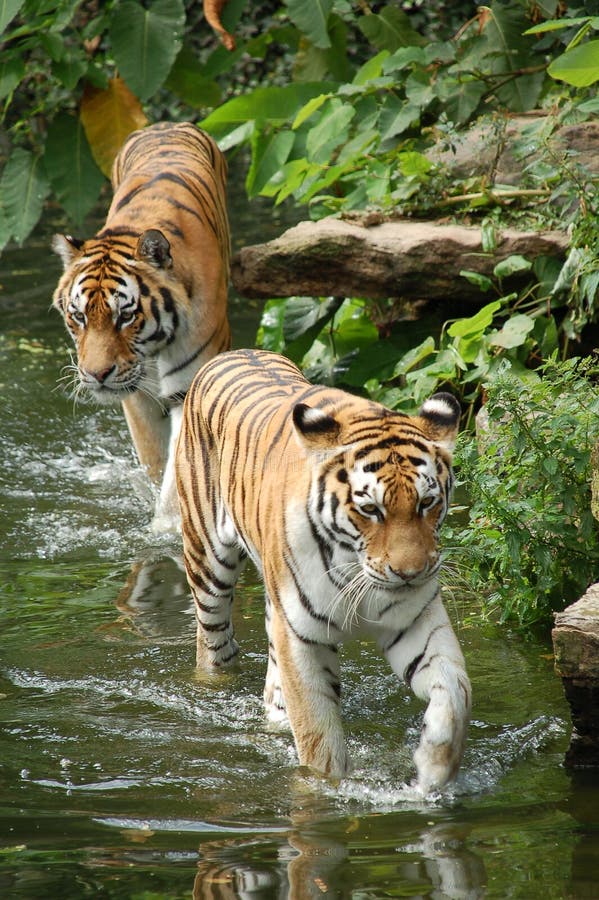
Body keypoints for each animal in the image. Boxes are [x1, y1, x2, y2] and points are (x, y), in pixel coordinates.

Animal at [52, 121, 230, 531]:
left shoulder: (187, 389)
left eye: (126, 316)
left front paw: (166, 527)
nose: (95, 375)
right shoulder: (134, 396)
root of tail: (167, 124)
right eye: (79, 316)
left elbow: (178, 476)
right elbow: (156, 462)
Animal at [175, 348, 471, 794]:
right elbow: (318, 737)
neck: (356, 568)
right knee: (213, 642)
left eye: (427, 503)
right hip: (208, 562)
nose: (410, 572)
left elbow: (455, 692)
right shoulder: (302, 639)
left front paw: (432, 770)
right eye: (370, 509)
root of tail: (236, 351)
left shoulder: (415, 620)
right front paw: (327, 790)